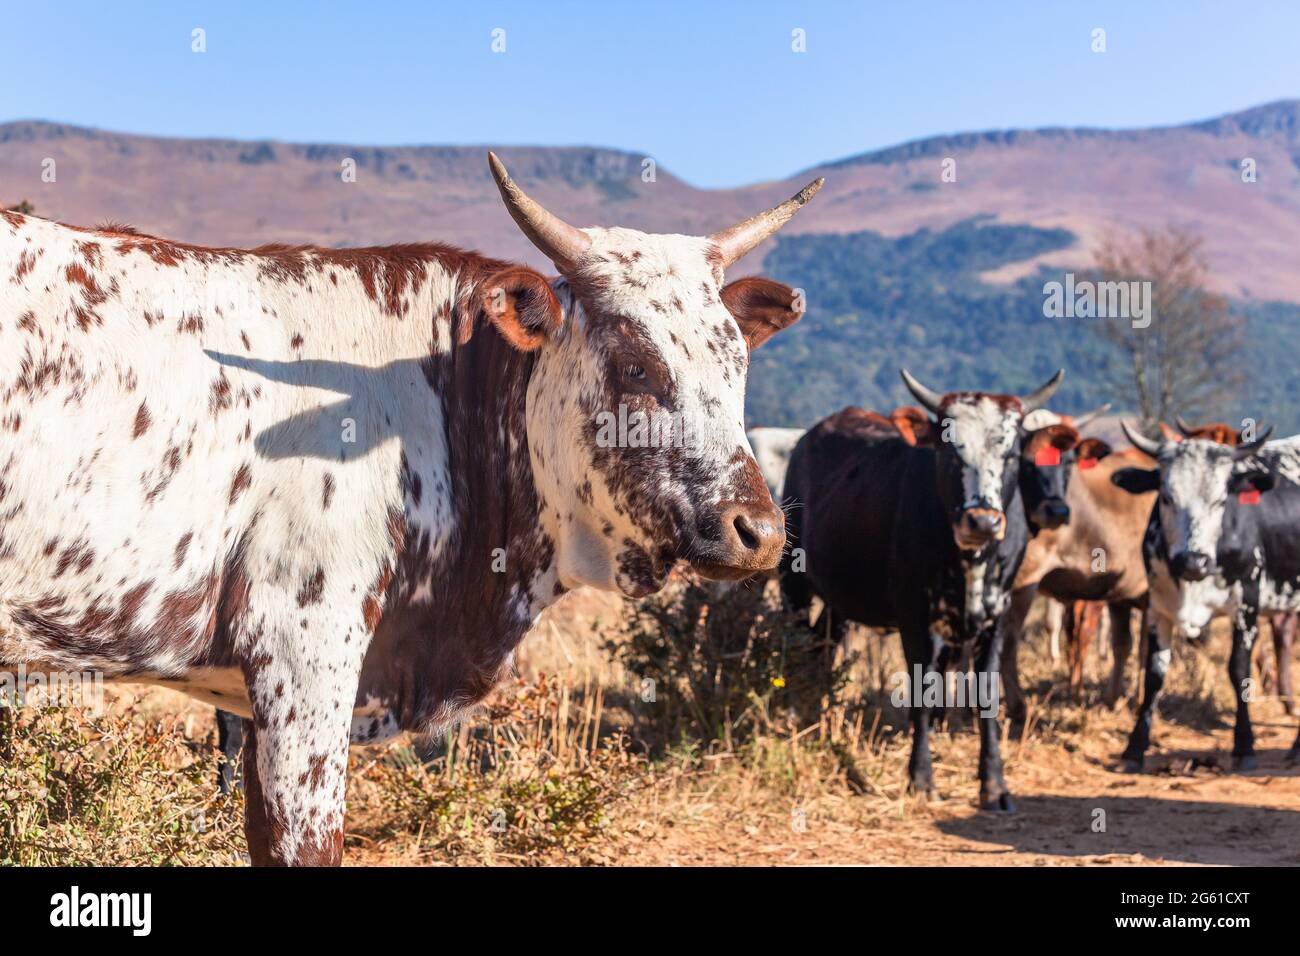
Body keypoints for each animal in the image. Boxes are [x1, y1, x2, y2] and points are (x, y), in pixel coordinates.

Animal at [780, 368, 1064, 812]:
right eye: (950, 451)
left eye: (1012, 454)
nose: (982, 521)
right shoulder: (915, 619)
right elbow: (923, 695)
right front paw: (921, 778)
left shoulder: (996, 618)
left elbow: (986, 696)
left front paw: (994, 784)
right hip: (793, 579)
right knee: (795, 639)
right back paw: (795, 714)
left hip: (839, 601)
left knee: (822, 645)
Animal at [1113, 419, 1300, 771]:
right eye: (1167, 497)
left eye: (1221, 500)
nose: (1193, 561)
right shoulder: (1159, 607)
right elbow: (1154, 675)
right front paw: (1134, 749)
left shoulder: (1247, 604)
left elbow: (1239, 670)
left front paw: (1244, 747)